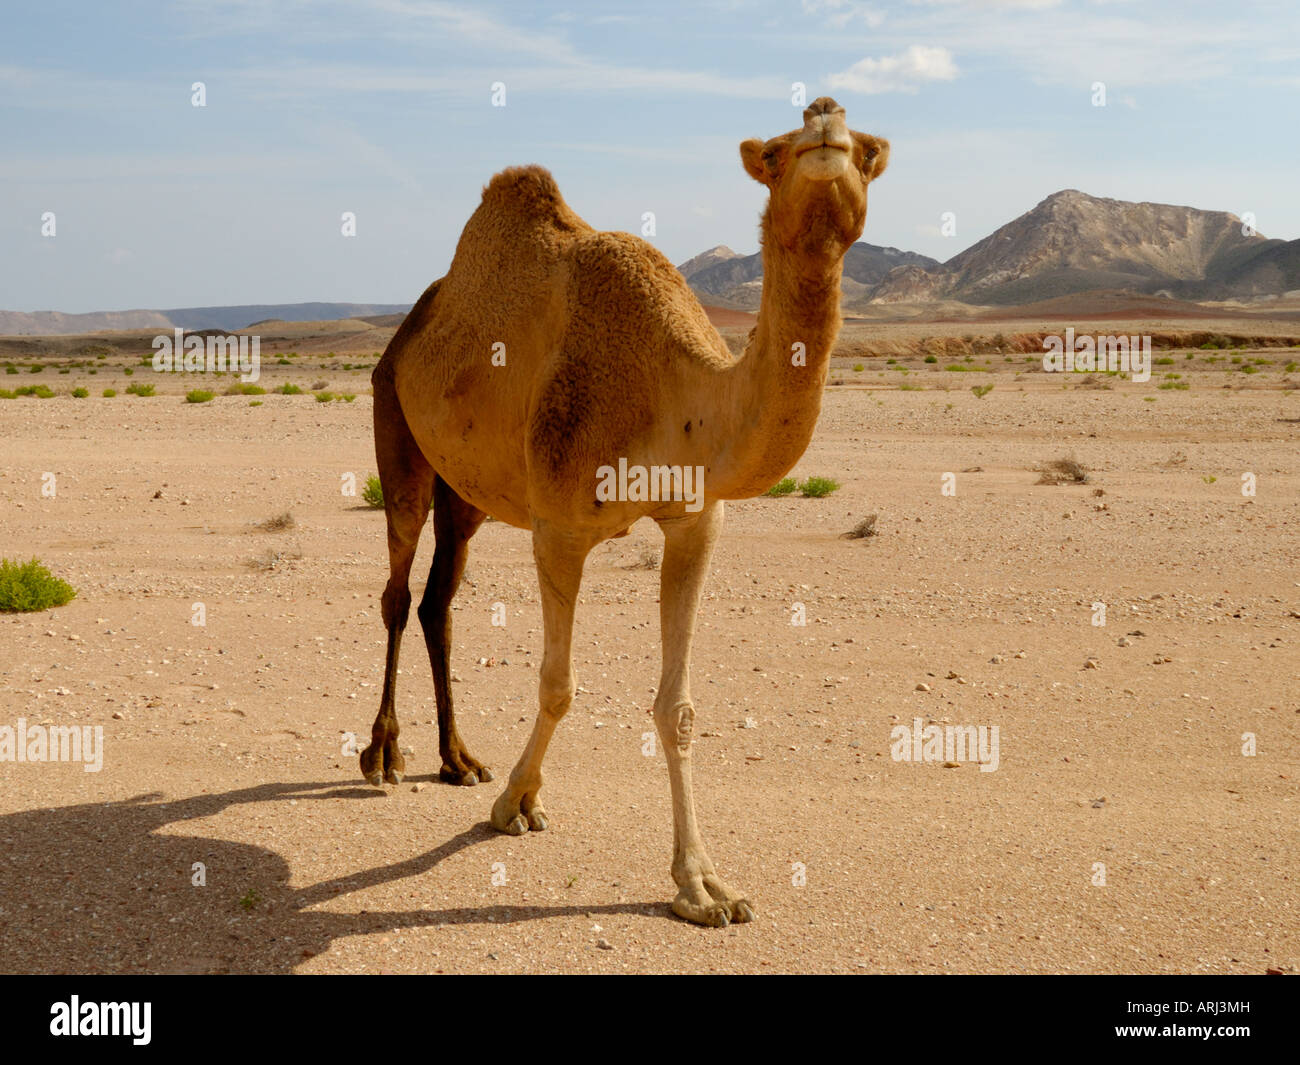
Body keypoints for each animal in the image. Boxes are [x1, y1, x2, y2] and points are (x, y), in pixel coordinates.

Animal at [360, 97, 889, 926]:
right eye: (774, 152)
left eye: (869, 151)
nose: (825, 116)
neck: (673, 393)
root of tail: (409, 326)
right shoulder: (558, 523)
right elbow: (558, 683)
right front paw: (515, 803)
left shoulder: (696, 519)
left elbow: (678, 708)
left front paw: (703, 885)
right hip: (398, 429)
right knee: (396, 586)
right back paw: (384, 753)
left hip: (466, 492)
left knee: (438, 599)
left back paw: (459, 759)